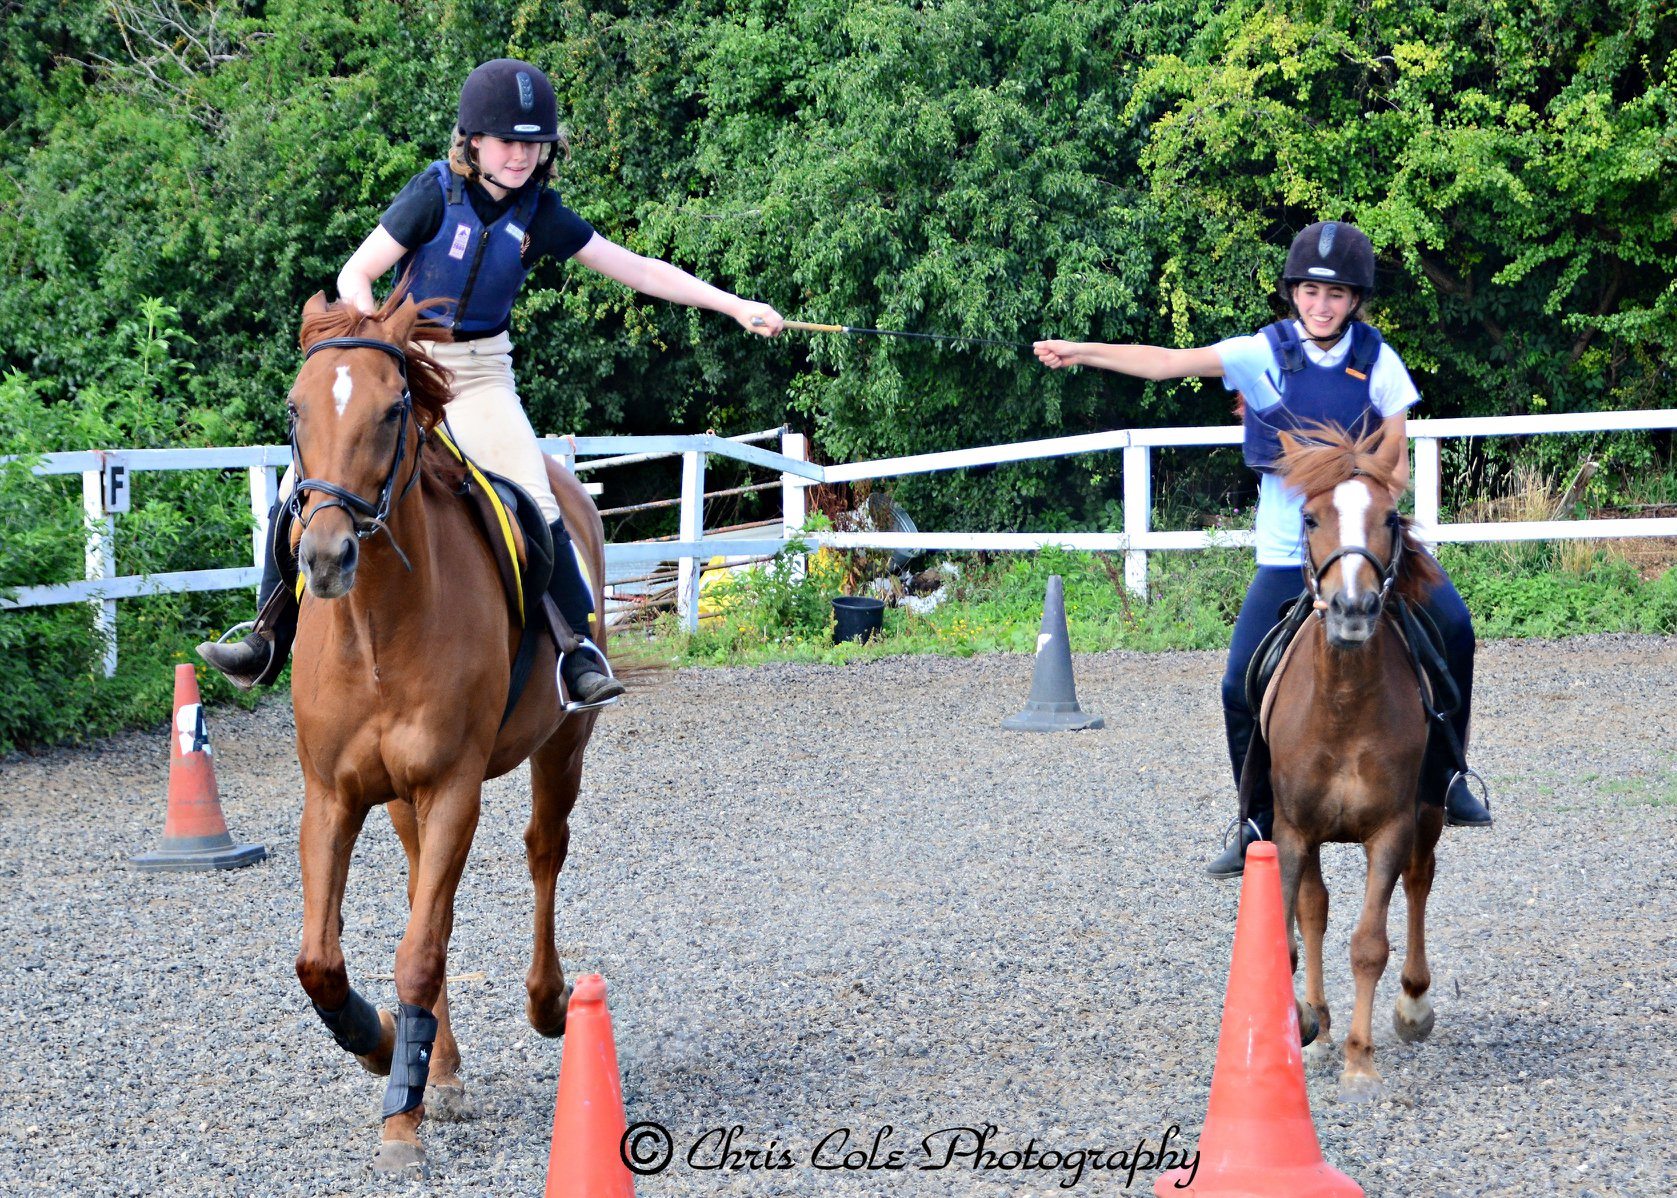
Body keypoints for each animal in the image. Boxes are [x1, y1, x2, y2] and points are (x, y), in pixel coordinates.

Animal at [283, 290, 606, 1173]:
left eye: (395, 409)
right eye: (295, 408)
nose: (325, 557)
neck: (377, 631)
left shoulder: (454, 786)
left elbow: (420, 950)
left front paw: (402, 1114)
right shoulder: (333, 796)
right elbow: (321, 961)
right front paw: (379, 1042)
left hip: (562, 746)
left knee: (543, 853)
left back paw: (548, 1005)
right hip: (400, 799)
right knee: (425, 892)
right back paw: (442, 1066)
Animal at [1263, 424, 1448, 1102]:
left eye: (1390, 516)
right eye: (1309, 517)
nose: (1352, 610)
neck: (1343, 707)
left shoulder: (1390, 828)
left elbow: (1370, 942)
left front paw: (1360, 1060)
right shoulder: (1291, 827)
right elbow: (1293, 927)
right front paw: (1302, 1025)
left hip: (1430, 811)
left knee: (1420, 879)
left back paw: (1414, 1006)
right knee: (1313, 908)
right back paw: (1316, 1021)